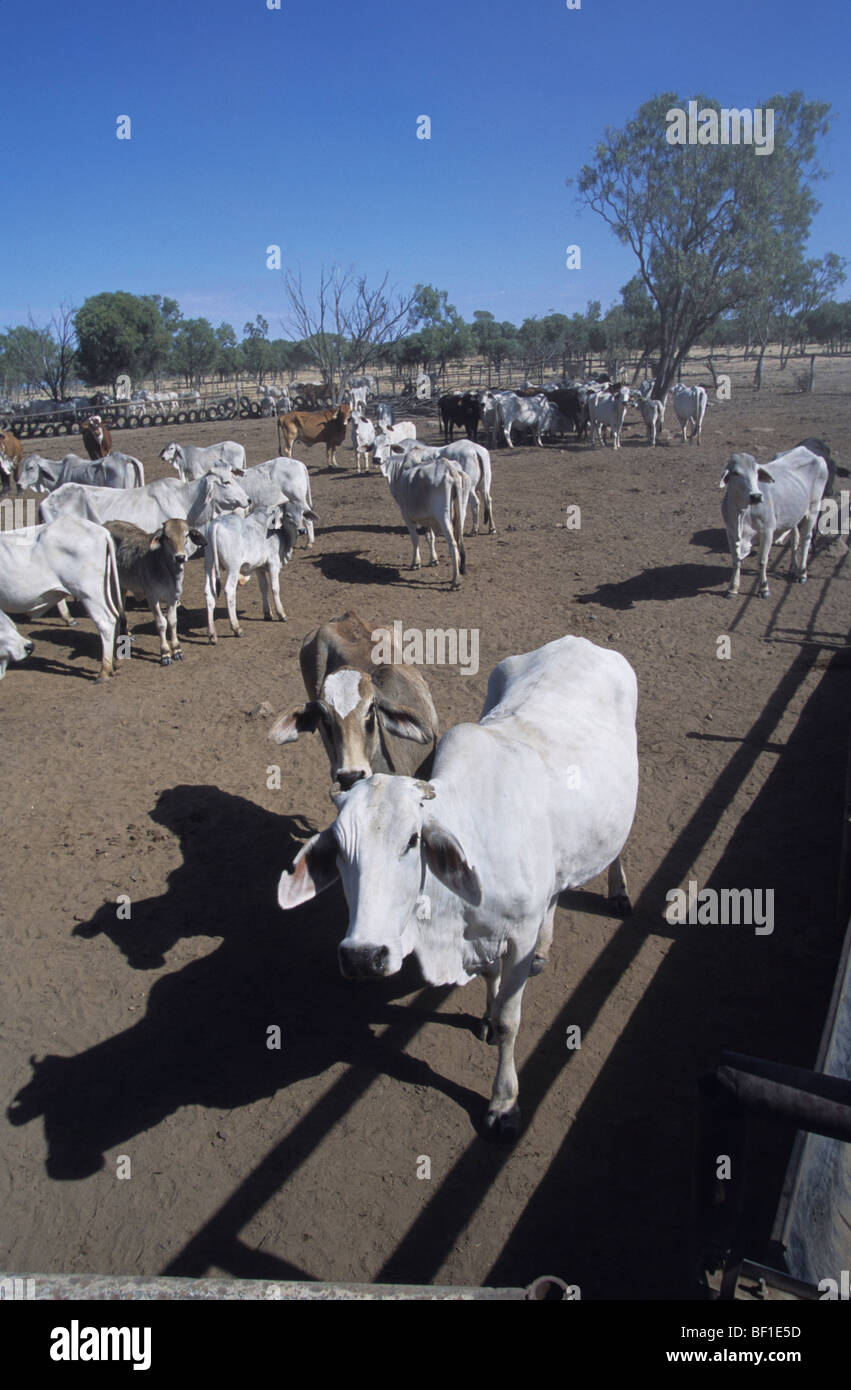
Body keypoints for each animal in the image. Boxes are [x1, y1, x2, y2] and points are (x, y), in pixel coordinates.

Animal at [105, 518, 206, 666]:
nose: (180, 557)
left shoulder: (173, 597)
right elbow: (161, 623)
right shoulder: (152, 598)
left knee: (121, 608)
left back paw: (126, 634)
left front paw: (177, 650)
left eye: (186, 535)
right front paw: (165, 653)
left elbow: (172, 621)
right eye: (167, 537)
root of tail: (106, 524)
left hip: (123, 586)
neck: (166, 570)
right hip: (112, 583)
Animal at [204, 503, 300, 643]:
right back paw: (237, 629)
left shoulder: (259, 567)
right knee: (229, 591)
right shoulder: (273, 562)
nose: (301, 530)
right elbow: (275, 587)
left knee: (209, 593)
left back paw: (212, 634)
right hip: (233, 568)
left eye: (303, 513)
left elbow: (263, 587)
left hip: (209, 566)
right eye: (287, 515)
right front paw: (281, 614)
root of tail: (217, 523)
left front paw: (267, 613)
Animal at [276, 634, 638, 1137]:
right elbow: (490, 979)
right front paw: (484, 1014)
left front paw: (504, 1103)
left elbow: (509, 1021)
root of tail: (579, 642)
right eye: (341, 850)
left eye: (413, 841)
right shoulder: (483, 934)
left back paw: (618, 892)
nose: (364, 956)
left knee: (616, 847)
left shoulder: (517, 937)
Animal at [380, 452, 470, 588]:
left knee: (453, 544)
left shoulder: (406, 516)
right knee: (459, 540)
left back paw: (455, 580)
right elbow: (430, 538)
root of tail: (451, 470)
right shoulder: (428, 519)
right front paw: (433, 560)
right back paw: (460, 570)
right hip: (461, 512)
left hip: (444, 516)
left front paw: (416, 563)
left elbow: (415, 539)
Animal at [719, 446, 830, 598]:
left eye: (757, 472)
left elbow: (762, 561)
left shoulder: (767, 531)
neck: (742, 514)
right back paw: (793, 568)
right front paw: (732, 588)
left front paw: (764, 588)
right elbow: (736, 561)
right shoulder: (731, 532)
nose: (756, 496)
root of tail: (808, 451)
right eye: (735, 473)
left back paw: (802, 573)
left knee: (806, 540)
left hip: (813, 508)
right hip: (794, 515)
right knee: (795, 539)